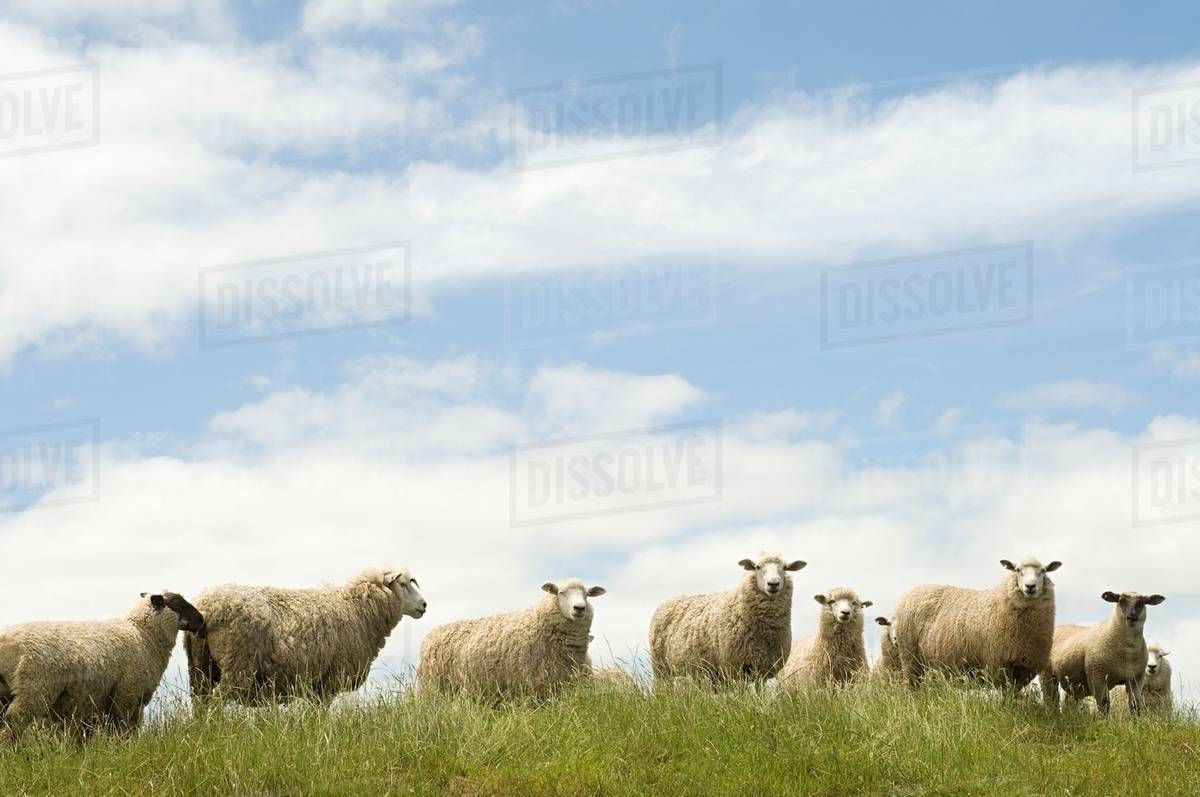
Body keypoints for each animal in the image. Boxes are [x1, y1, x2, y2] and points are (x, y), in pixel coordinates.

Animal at [0, 592, 205, 734]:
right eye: (177, 603)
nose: (201, 620)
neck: (142, 635)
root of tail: (4, 640)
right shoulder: (126, 693)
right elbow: (121, 727)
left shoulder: (120, 702)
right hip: (33, 689)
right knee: (14, 722)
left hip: (7, 692)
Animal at [185, 567, 426, 705]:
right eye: (403, 584)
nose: (424, 605)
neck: (357, 610)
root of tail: (207, 607)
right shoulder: (329, 680)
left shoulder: (317, 685)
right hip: (237, 664)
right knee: (216, 704)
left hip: (200, 666)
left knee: (200, 704)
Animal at [417, 578, 605, 701]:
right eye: (561, 592)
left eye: (587, 595)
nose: (579, 608)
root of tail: (431, 633)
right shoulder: (533, 684)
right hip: (434, 688)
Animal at [649, 553, 806, 684]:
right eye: (757, 567)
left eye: (785, 568)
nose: (773, 584)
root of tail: (669, 599)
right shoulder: (734, 666)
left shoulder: (762, 667)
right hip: (660, 668)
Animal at [894, 557, 1061, 693]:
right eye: (1018, 570)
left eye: (1043, 571)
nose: (1030, 586)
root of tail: (909, 593)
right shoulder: (999, 664)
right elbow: (1007, 695)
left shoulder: (1024, 668)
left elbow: (1014, 694)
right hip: (910, 658)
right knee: (911, 687)